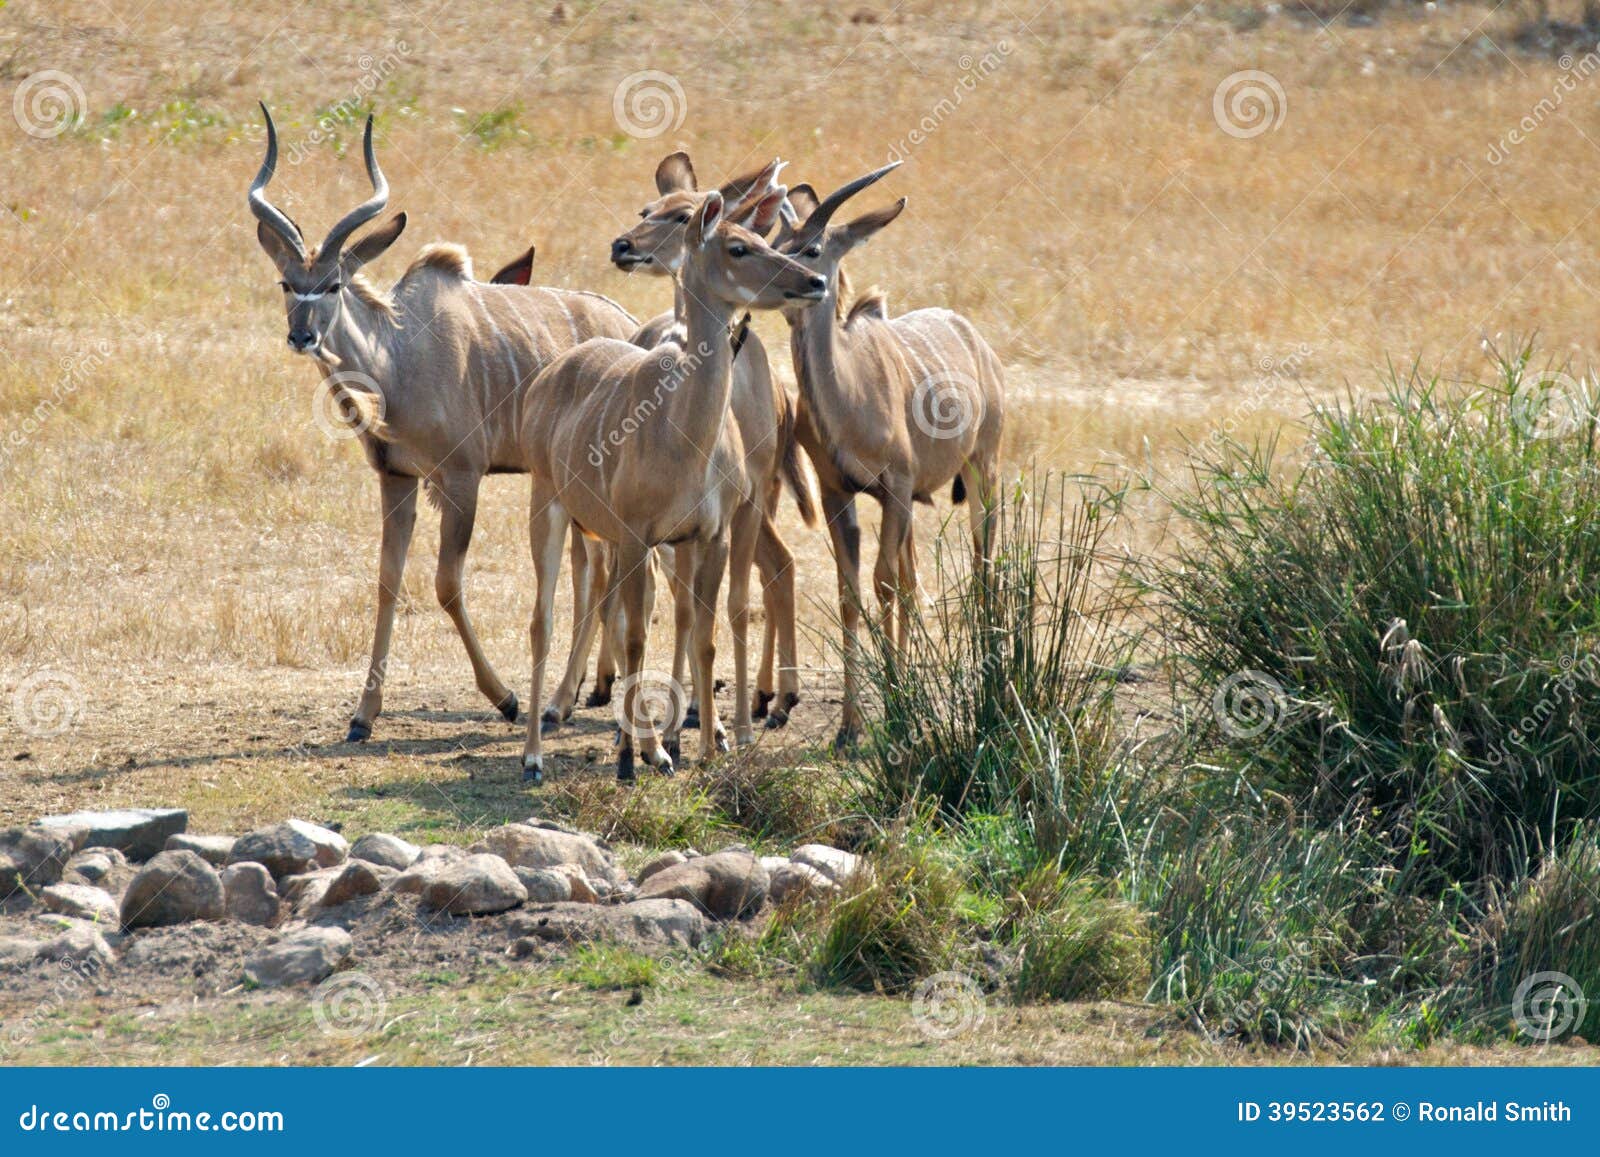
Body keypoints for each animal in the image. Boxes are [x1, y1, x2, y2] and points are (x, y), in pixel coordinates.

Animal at [248, 105, 637, 743]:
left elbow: (446, 585)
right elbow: (387, 581)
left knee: (600, 573)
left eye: (334, 285)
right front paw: (362, 716)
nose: (301, 336)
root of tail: (631, 325)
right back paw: (572, 697)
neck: (399, 358)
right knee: (595, 571)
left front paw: (506, 699)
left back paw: (558, 703)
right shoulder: (397, 480)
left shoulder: (460, 478)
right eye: (287, 282)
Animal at [519, 185, 827, 784]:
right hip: (550, 507)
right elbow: (638, 635)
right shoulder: (639, 533)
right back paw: (535, 755)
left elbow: (702, 634)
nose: (813, 280)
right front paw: (637, 756)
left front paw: (702, 746)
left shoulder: (708, 534)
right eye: (737, 246)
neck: (683, 433)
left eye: (757, 237)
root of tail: (549, 375)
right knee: (544, 619)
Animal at [774, 162, 1005, 749]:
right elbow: (851, 593)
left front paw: (898, 710)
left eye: (811, 249)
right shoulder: (840, 493)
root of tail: (976, 341)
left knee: (980, 562)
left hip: (983, 468)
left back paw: (990, 670)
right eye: (769, 244)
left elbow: (881, 584)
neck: (850, 392)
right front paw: (849, 727)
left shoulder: (896, 487)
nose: (793, 287)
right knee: (911, 575)